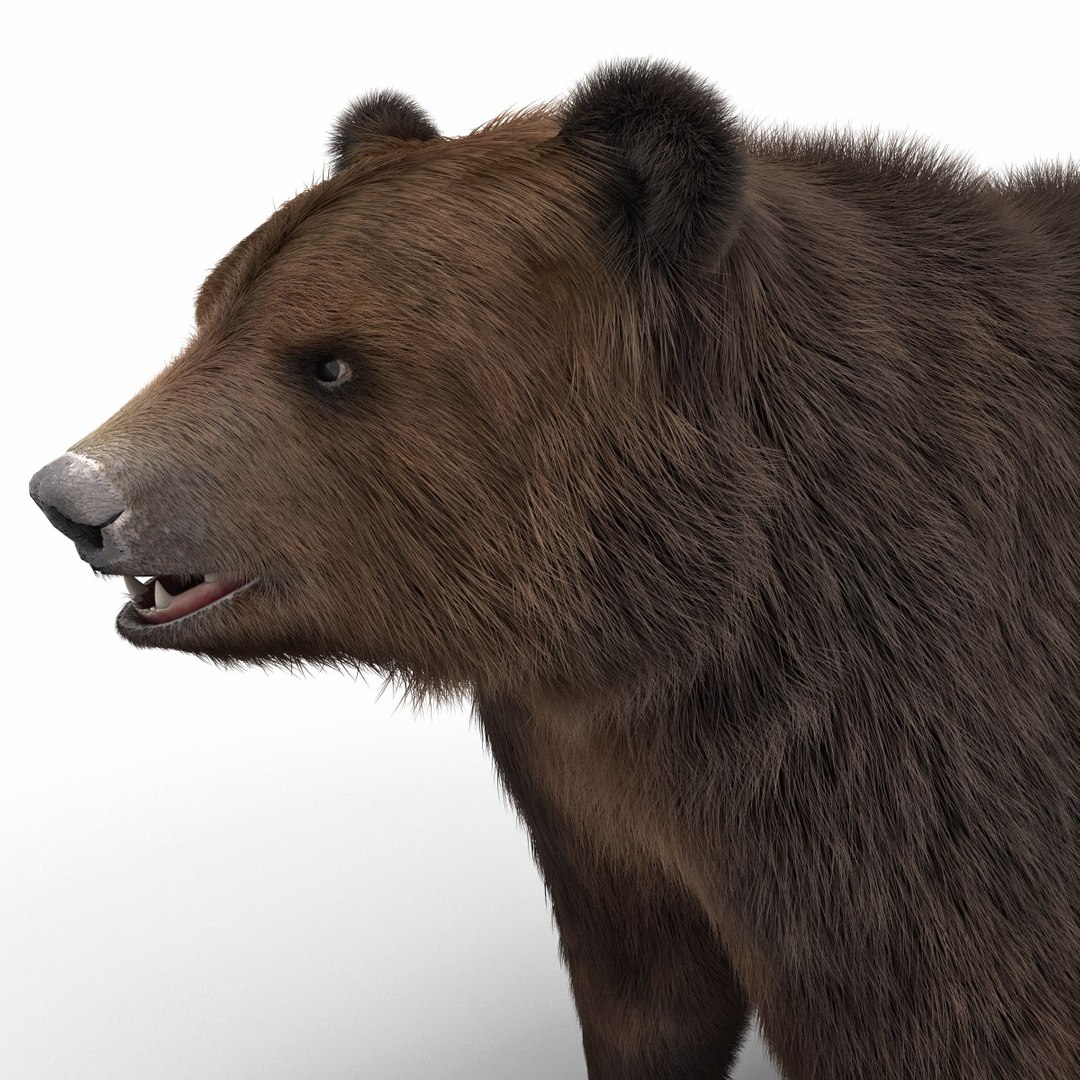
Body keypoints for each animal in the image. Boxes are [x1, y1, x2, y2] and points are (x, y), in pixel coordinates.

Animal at [29, 59, 1079, 1079]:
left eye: (329, 362)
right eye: (208, 313)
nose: (72, 496)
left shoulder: (901, 756)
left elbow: (951, 1012)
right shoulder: (597, 791)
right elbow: (645, 996)